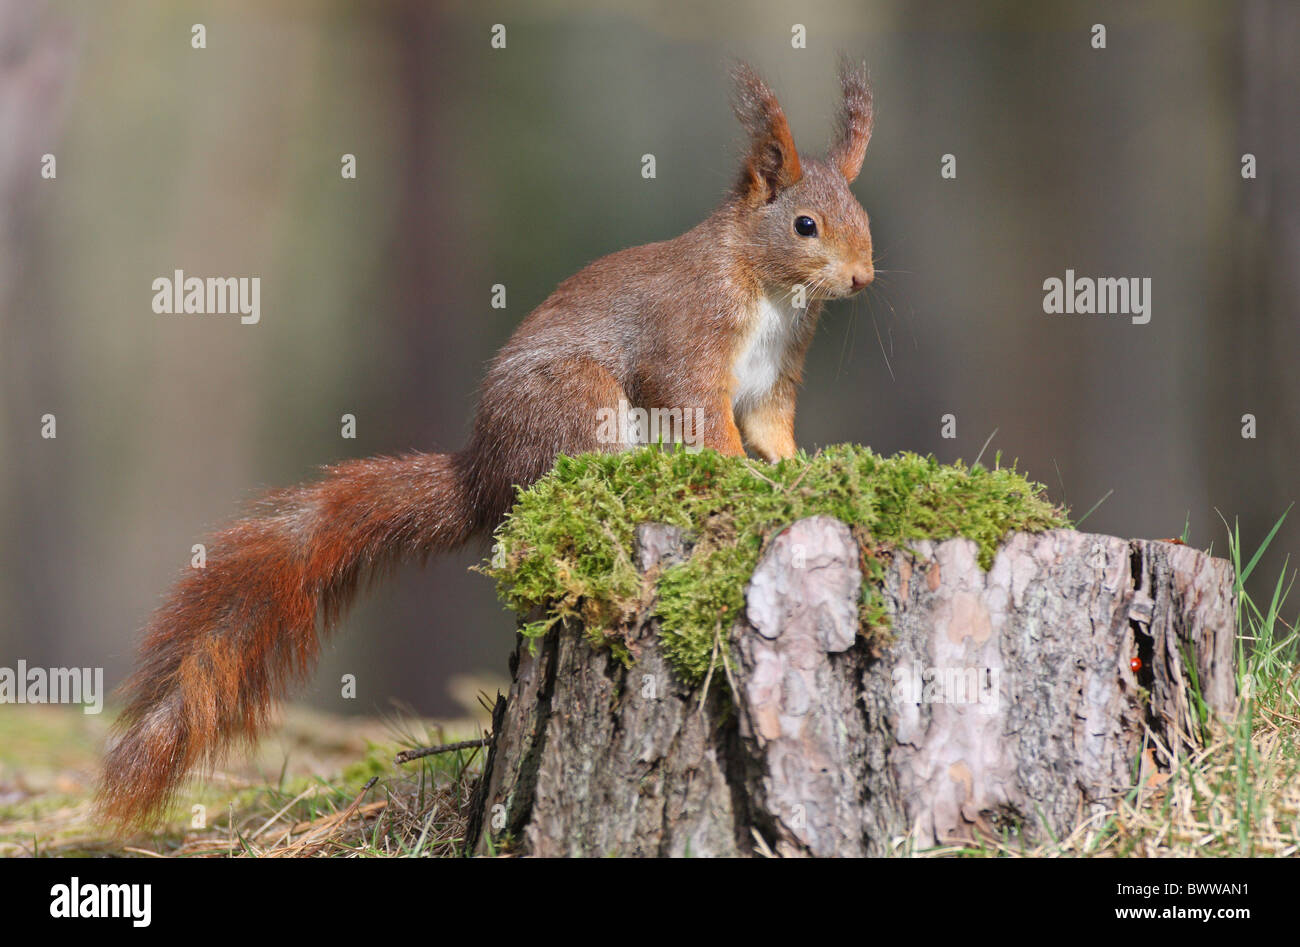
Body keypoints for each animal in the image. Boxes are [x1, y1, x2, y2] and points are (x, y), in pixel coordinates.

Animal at [98, 61, 876, 829]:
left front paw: (798, 467)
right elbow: (702, 415)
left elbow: (771, 426)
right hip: (577, 402)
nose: (862, 278)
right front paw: (739, 474)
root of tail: (484, 471)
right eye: (805, 225)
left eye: (863, 219)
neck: (767, 286)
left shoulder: (776, 377)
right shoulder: (691, 342)